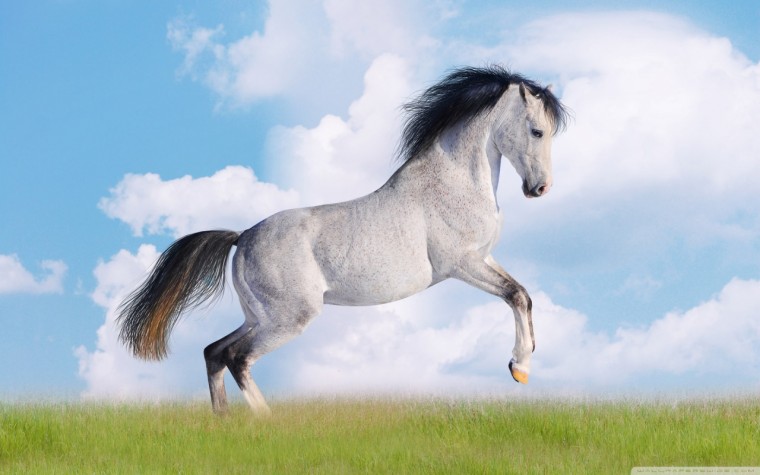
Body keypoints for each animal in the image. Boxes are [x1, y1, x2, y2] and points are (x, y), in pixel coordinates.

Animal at [117, 65, 568, 414]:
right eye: (537, 131)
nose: (540, 188)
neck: (454, 182)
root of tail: (242, 237)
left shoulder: (483, 259)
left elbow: (523, 295)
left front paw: (522, 367)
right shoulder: (461, 264)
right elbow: (514, 295)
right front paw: (519, 367)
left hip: (259, 316)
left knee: (214, 351)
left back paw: (224, 422)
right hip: (288, 318)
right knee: (236, 357)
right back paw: (266, 424)